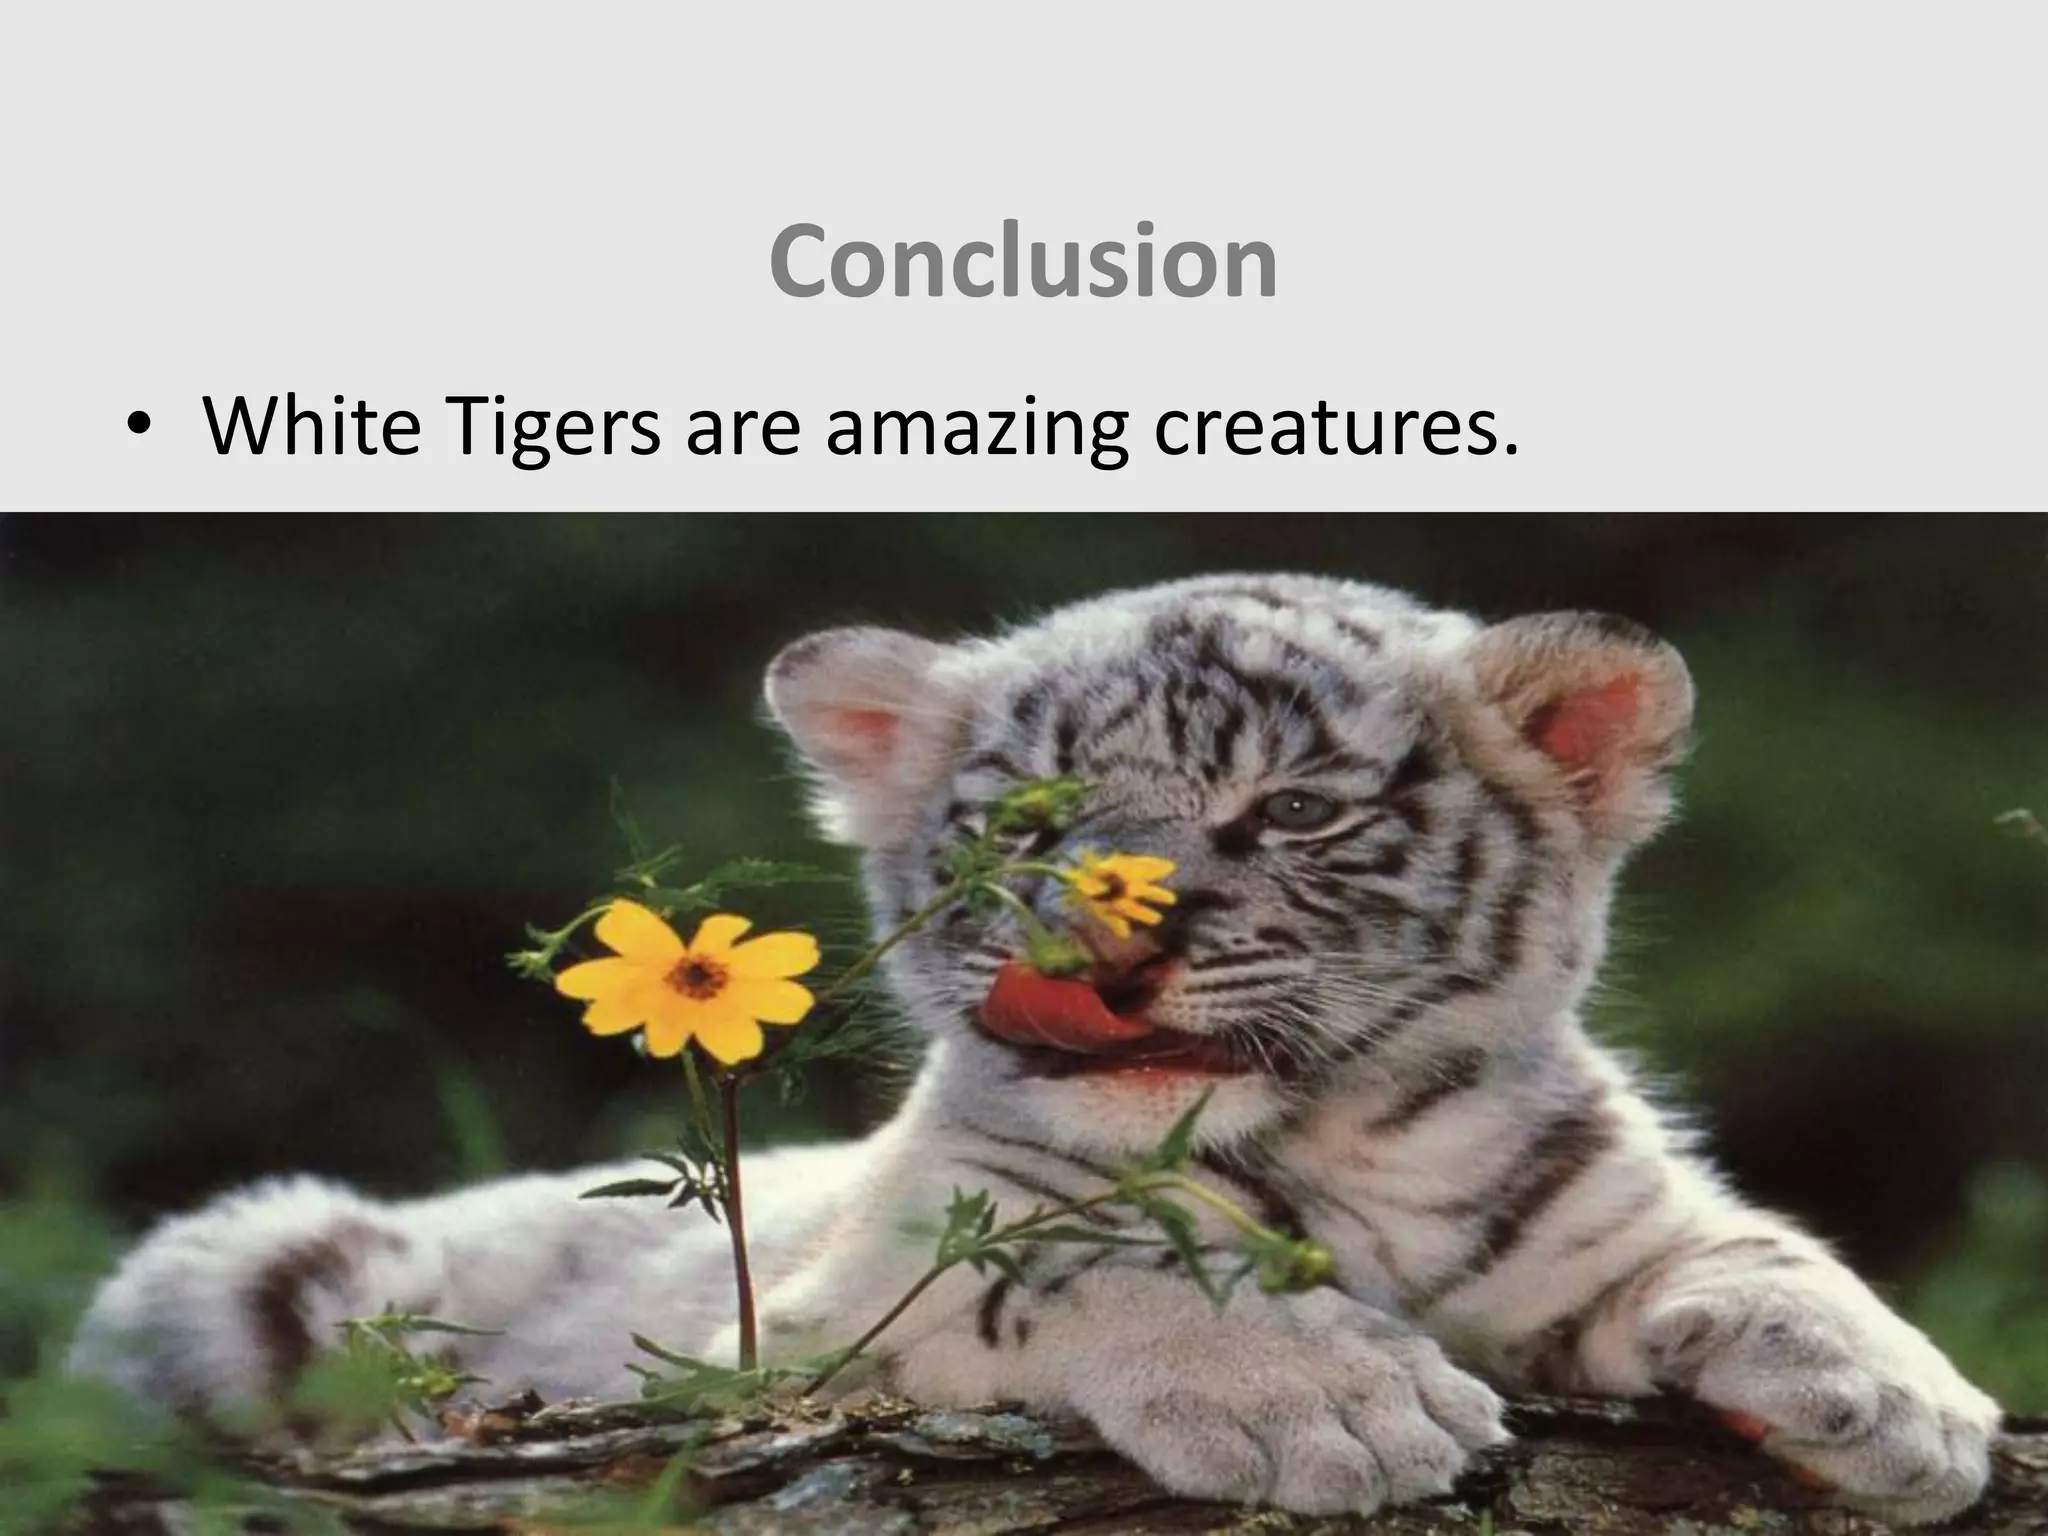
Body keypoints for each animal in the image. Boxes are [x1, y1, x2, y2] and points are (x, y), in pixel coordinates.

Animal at [69, 572, 1999, 1523]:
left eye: (1291, 811)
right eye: (1028, 826)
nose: (1102, 952)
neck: (1343, 1160)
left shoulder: (1602, 1215)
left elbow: (1761, 1247)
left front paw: (1903, 1405)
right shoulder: (852, 1296)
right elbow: (1086, 1267)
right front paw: (1338, 1402)